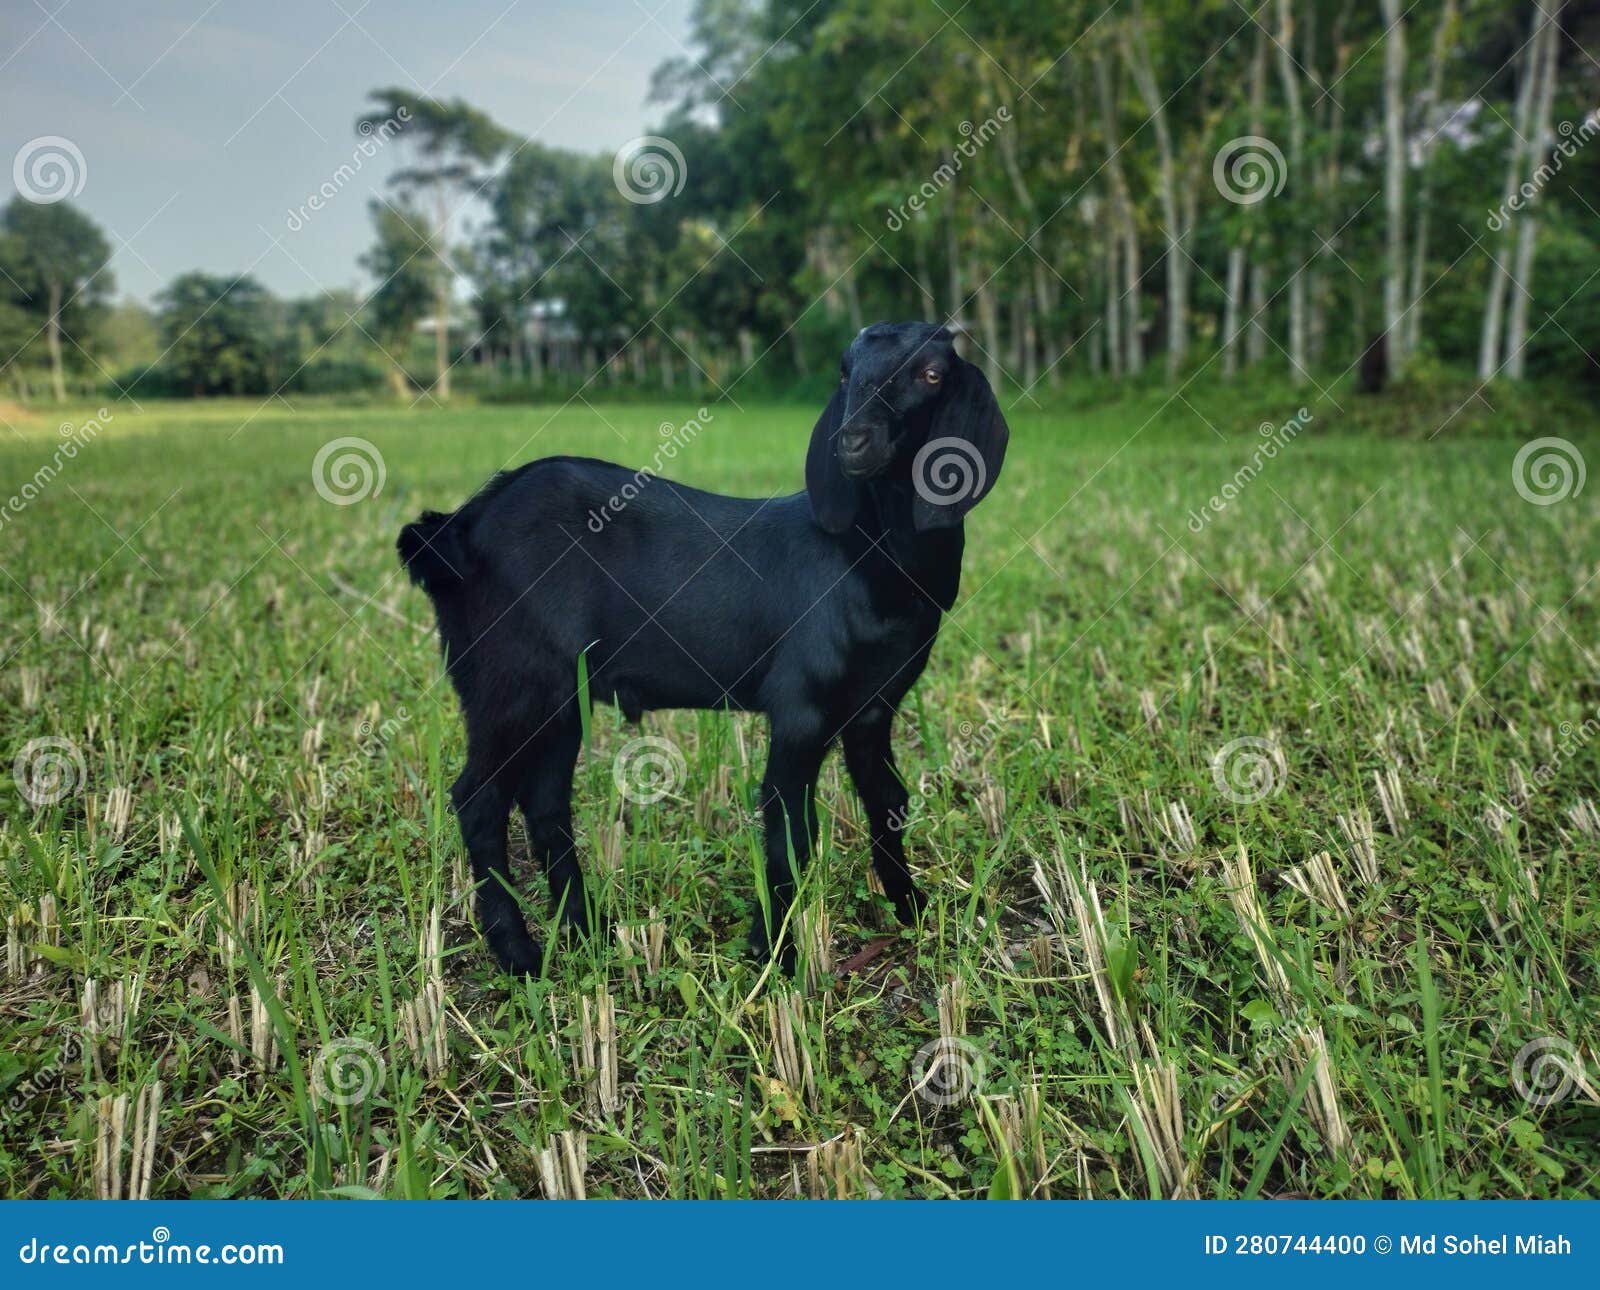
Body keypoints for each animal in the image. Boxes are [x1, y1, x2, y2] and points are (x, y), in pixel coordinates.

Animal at [397, 321, 1010, 976]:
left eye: (931, 373)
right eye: (846, 371)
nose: (852, 442)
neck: (875, 557)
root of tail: (459, 529)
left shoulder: (873, 709)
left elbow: (887, 801)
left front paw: (911, 910)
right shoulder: (801, 706)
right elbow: (790, 829)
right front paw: (775, 957)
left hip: (559, 698)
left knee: (544, 805)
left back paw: (590, 930)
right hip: (510, 680)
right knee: (480, 801)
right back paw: (519, 954)